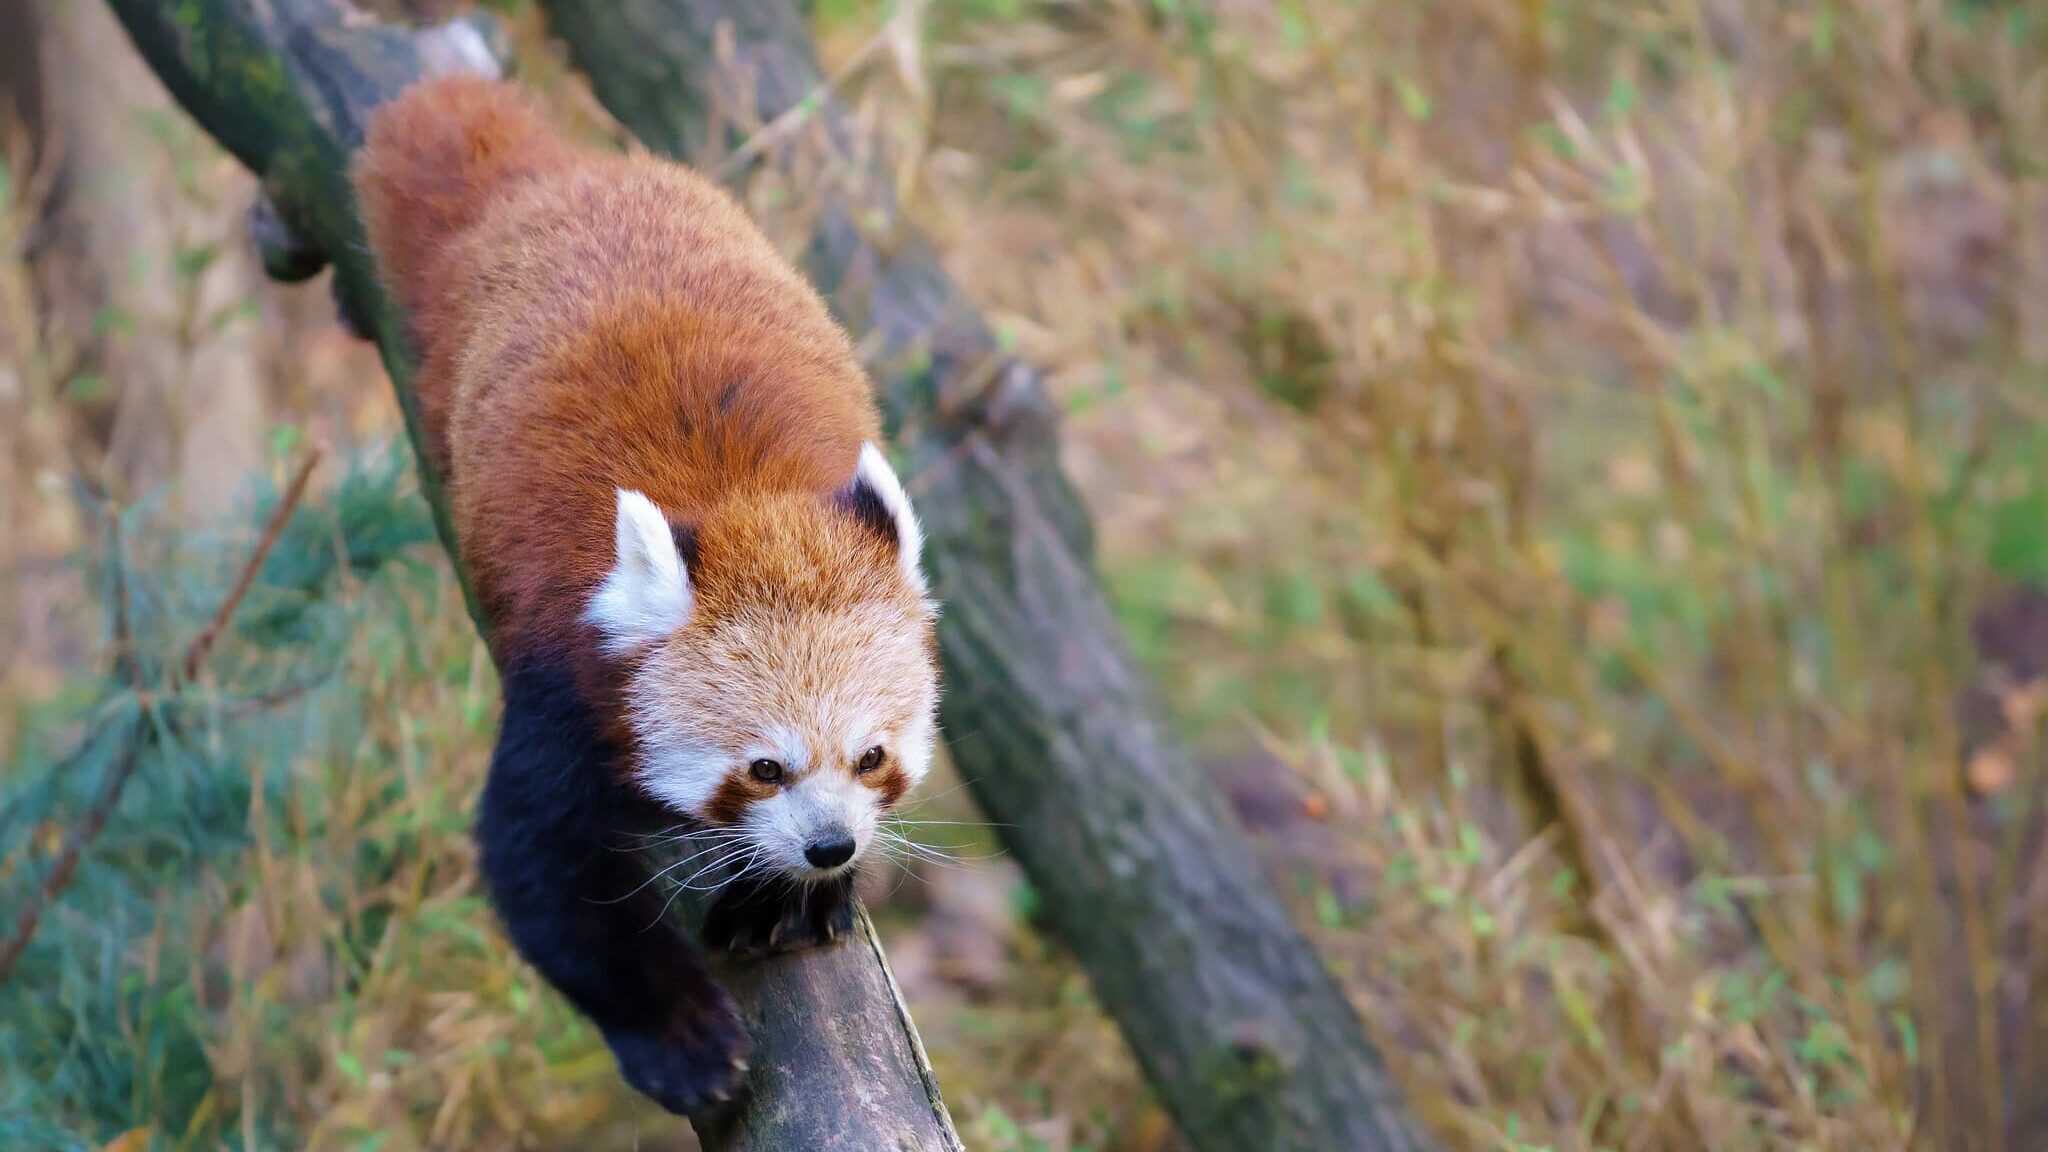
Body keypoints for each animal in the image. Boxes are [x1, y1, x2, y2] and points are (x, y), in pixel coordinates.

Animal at [352, 75, 939, 1114]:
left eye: (871, 757)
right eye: (762, 769)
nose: (829, 847)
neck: (745, 503)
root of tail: (551, 185)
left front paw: (787, 900)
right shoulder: (569, 682)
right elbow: (542, 870)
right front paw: (682, 1039)